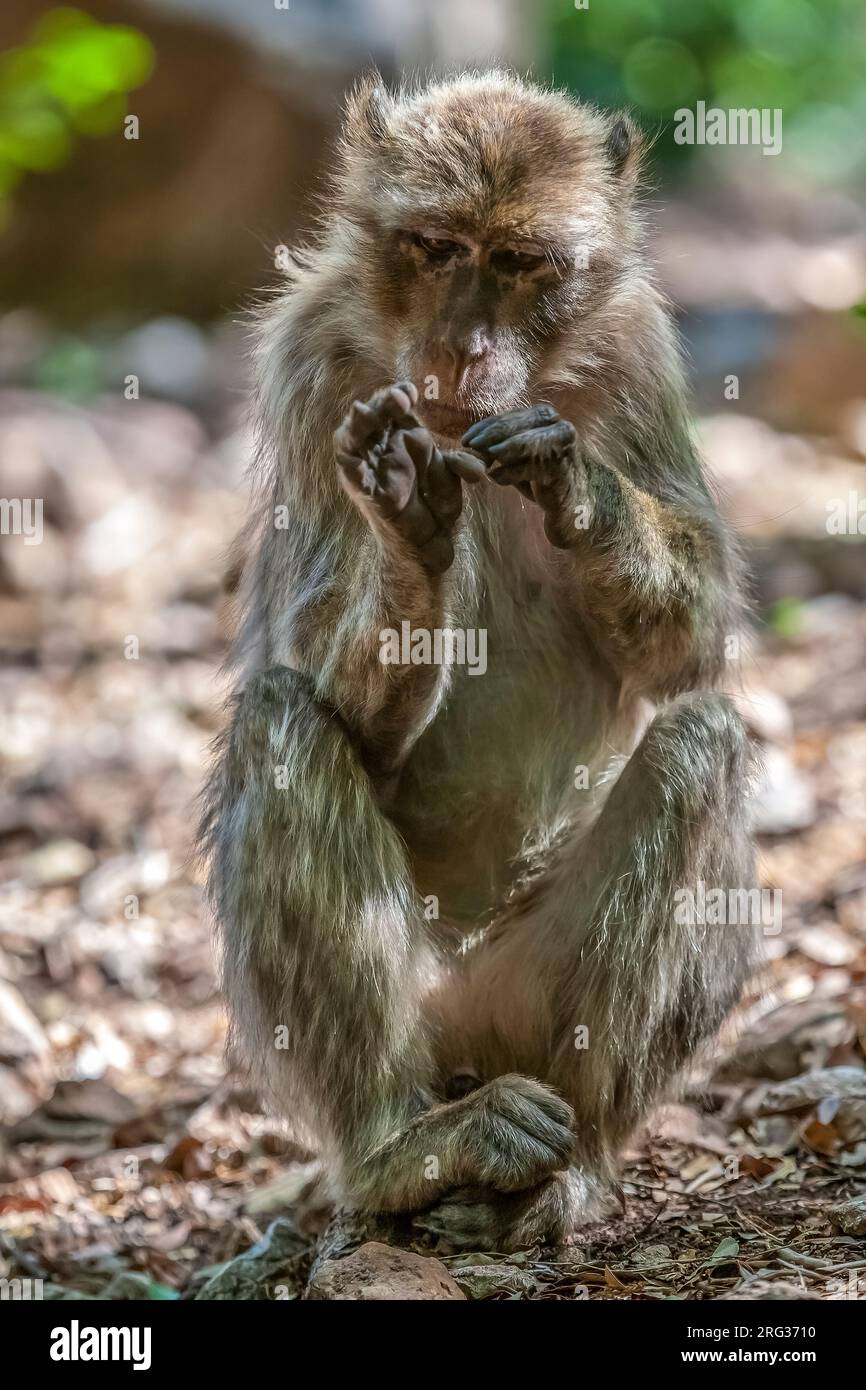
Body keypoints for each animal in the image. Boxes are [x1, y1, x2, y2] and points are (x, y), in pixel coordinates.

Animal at [199, 71, 758, 1253]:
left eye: (520, 262)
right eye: (438, 246)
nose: (461, 349)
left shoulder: (636, 350)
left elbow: (690, 655)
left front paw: (579, 492)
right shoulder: (309, 364)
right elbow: (317, 680)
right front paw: (414, 532)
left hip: (522, 995)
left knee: (700, 745)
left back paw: (580, 1158)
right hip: (422, 1007)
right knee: (280, 722)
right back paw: (403, 1150)